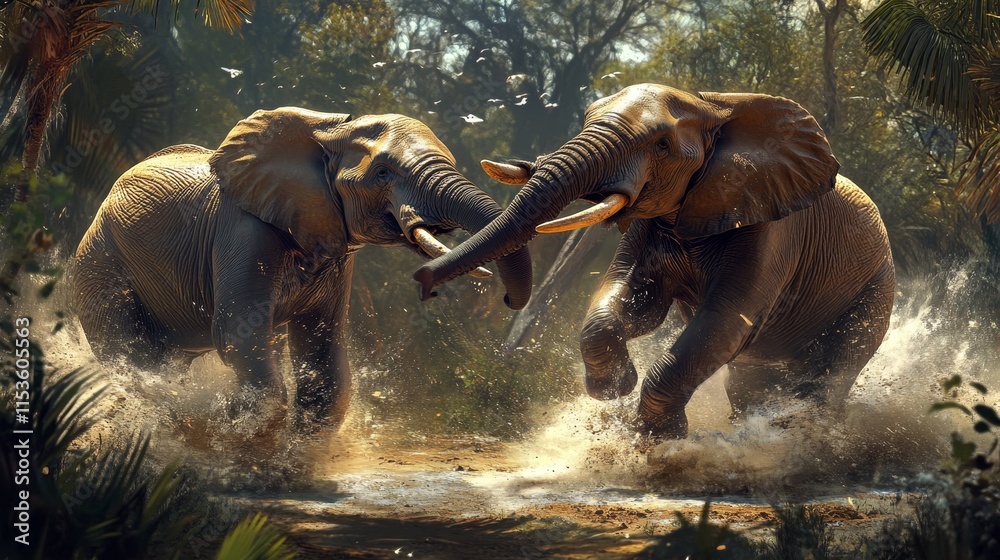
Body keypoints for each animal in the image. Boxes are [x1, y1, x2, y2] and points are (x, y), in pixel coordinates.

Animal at [74, 107, 532, 433]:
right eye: (383, 172)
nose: (507, 298)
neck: (327, 131)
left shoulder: (336, 247)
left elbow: (323, 349)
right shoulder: (244, 231)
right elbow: (239, 334)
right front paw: (241, 441)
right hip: (99, 263)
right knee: (134, 356)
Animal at [414, 83, 895, 439]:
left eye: (662, 144)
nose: (423, 281)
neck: (714, 107)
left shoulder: (772, 227)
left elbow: (725, 321)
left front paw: (655, 437)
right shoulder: (651, 225)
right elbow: (629, 302)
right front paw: (614, 389)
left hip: (875, 290)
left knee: (831, 374)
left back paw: (801, 443)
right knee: (750, 382)